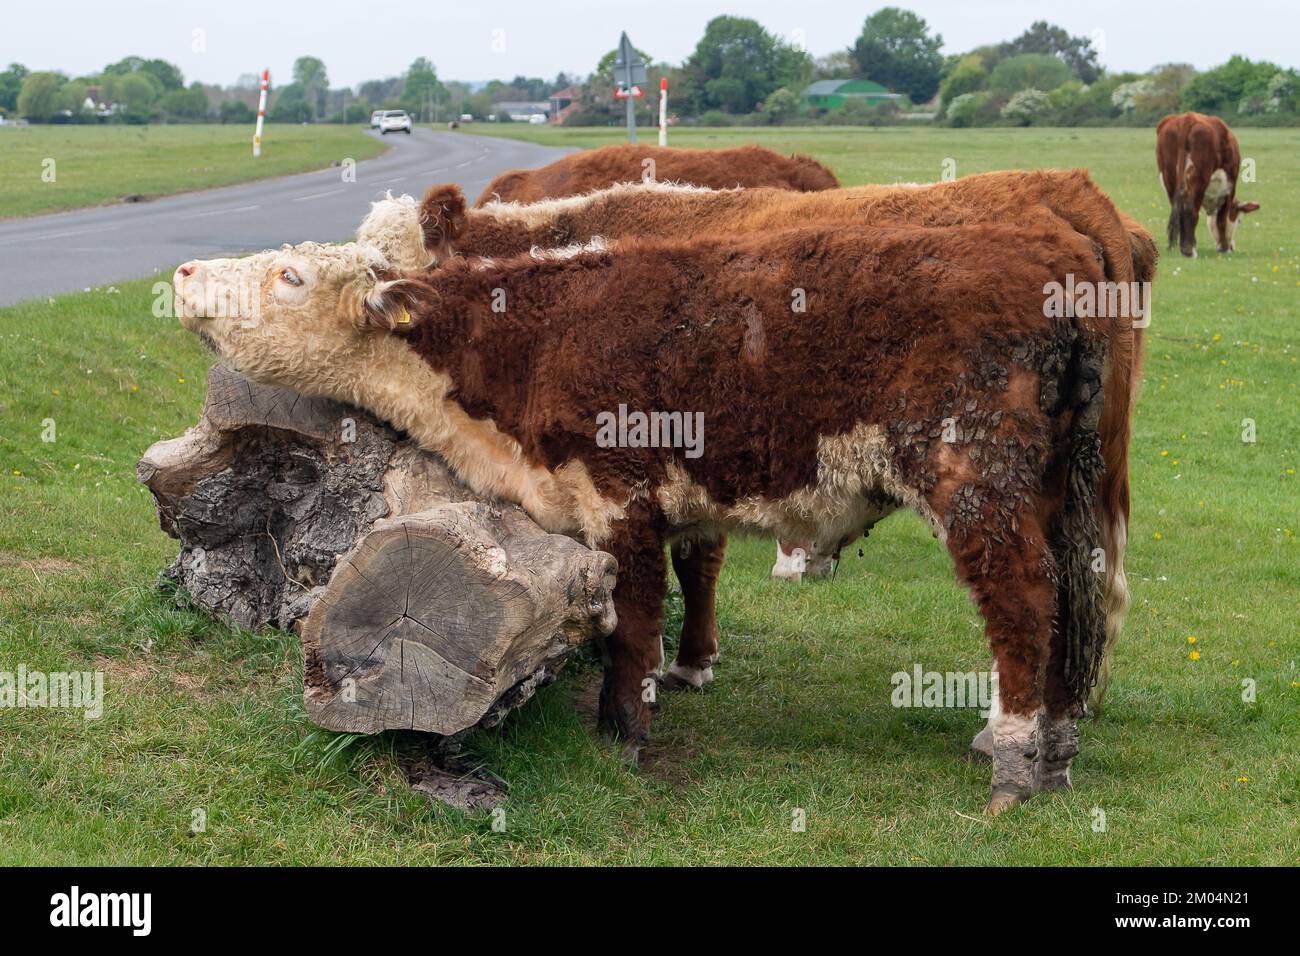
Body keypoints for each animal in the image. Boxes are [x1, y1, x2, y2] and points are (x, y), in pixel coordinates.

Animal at [173, 216, 1128, 814]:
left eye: (288, 274)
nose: (181, 270)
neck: (525, 340)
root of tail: (1053, 255)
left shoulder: (618, 493)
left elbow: (628, 624)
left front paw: (620, 733)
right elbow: (673, 586)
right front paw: (671, 681)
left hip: (977, 478)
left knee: (1023, 603)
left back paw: (1014, 765)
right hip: (1049, 490)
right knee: (1073, 603)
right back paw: (1049, 742)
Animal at [358, 169, 1149, 724]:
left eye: (380, 265)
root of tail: (1072, 194)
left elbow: (689, 560)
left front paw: (678, 665)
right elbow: (696, 555)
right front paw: (693, 660)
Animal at [1156, 111, 1259, 257]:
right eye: (1239, 221)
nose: (1232, 246)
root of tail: (1188, 117)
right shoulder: (1229, 189)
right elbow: (1221, 219)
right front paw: (1224, 248)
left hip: (1168, 175)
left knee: (1179, 209)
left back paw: (1184, 248)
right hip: (1200, 177)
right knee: (1191, 210)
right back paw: (1189, 251)